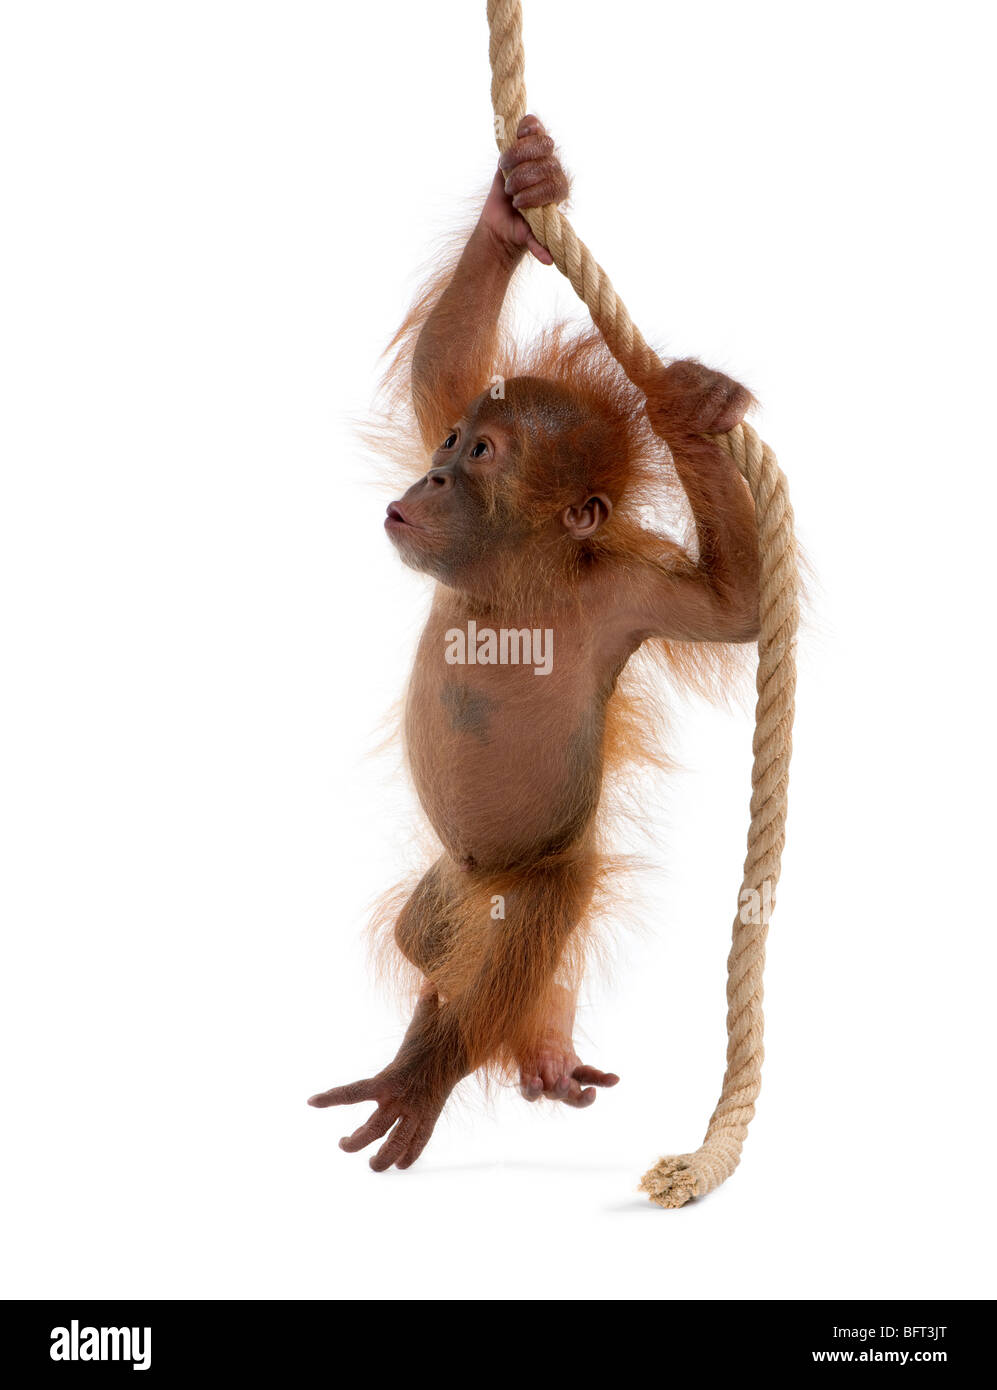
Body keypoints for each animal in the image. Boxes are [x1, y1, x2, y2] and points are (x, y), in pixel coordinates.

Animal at [308, 117, 760, 1172]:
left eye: (481, 456)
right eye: (448, 443)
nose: (429, 479)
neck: (512, 576)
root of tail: (484, 880)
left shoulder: (627, 596)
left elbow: (736, 608)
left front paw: (694, 414)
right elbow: (442, 363)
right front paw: (515, 199)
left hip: (550, 876)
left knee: (508, 958)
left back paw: (429, 1070)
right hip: (451, 883)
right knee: (429, 947)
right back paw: (489, 1039)